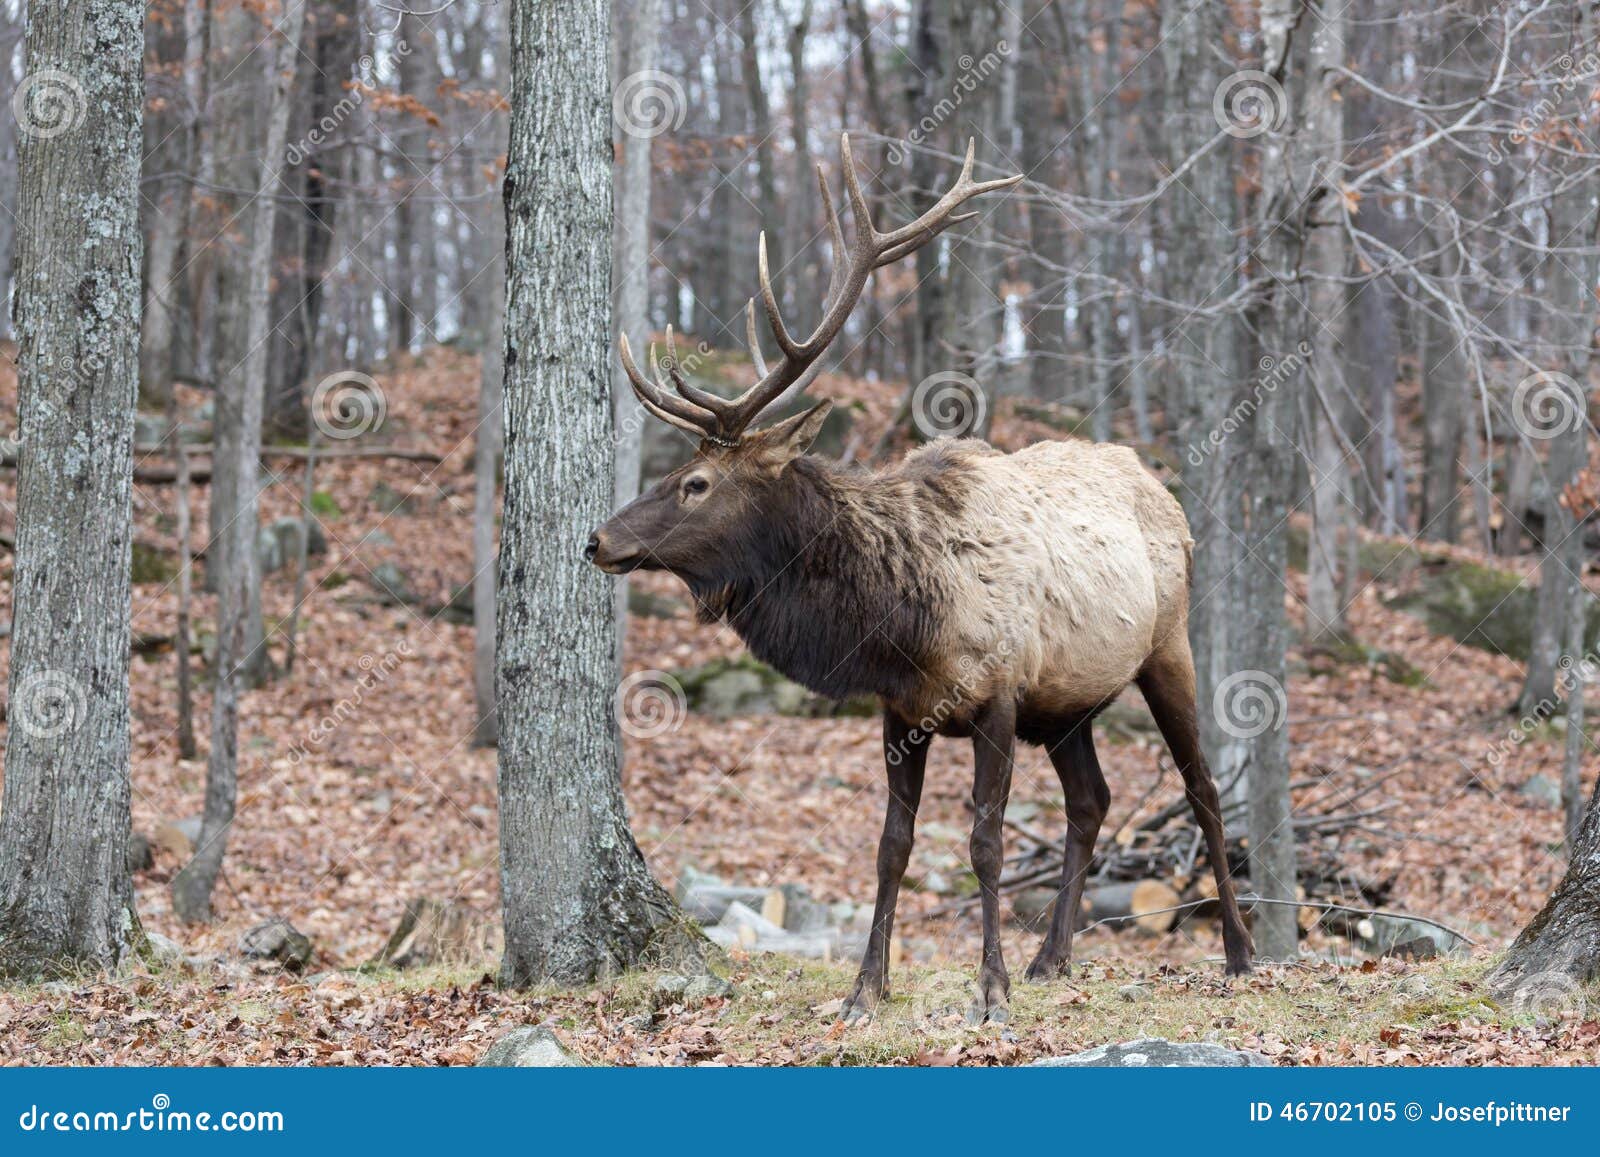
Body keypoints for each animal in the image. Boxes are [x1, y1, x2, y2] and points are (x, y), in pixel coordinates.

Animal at [586, 135, 1254, 1025]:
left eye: (695, 484)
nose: (598, 538)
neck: (902, 621)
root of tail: (1164, 492)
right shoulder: (900, 710)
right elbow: (891, 846)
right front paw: (866, 988)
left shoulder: (999, 692)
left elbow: (985, 842)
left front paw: (990, 990)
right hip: (1070, 701)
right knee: (1093, 800)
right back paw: (1053, 957)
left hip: (1168, 647)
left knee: (1203, 785)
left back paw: (1240, 951)